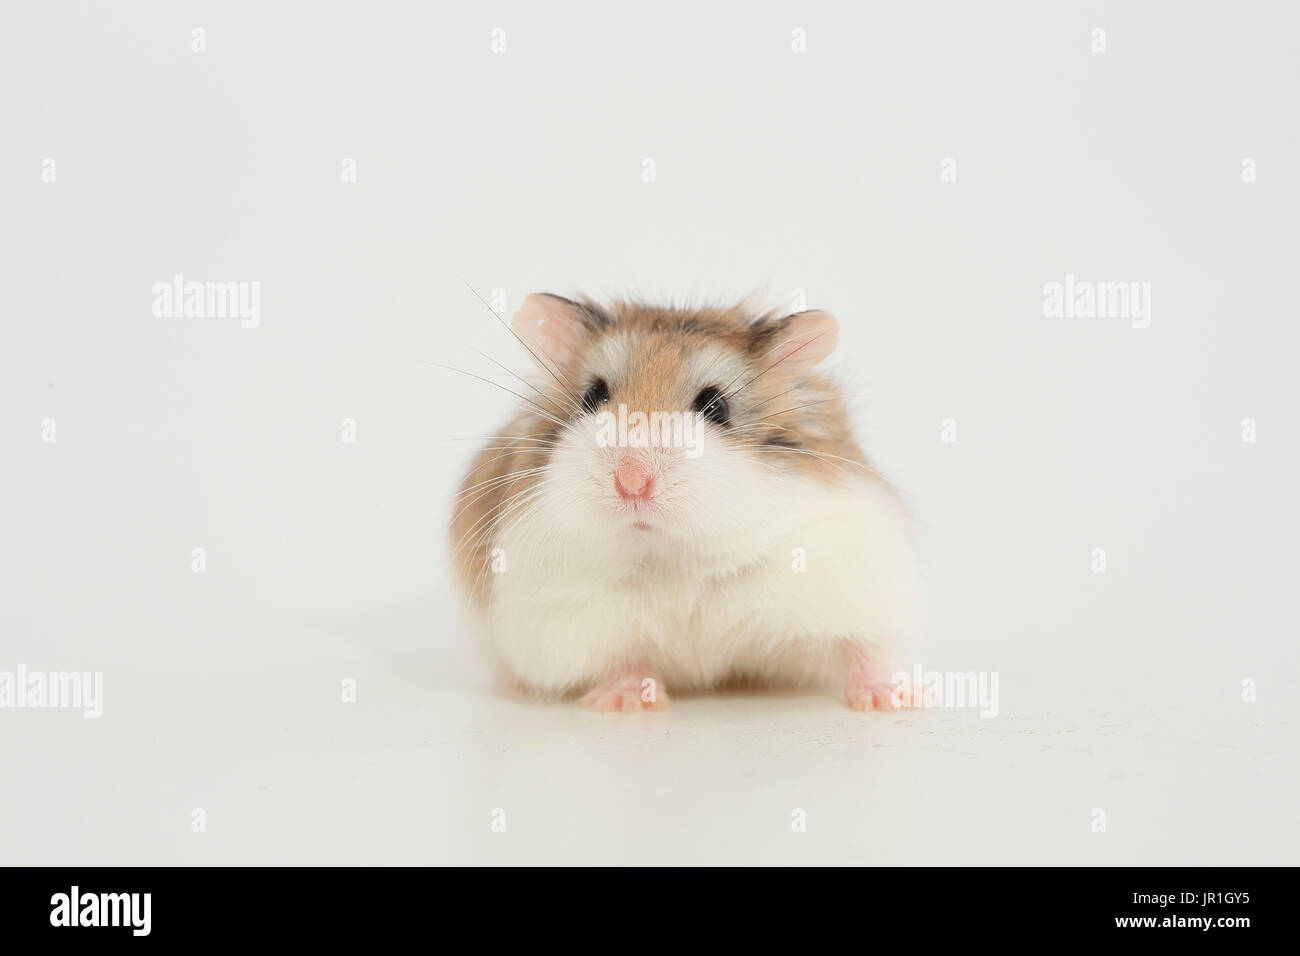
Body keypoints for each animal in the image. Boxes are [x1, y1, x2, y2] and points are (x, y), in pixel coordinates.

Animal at [449, 293, 922, 712]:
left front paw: (892, 699)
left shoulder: (848, 580)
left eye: (716, 406)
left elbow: (860, 648)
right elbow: (623, 660)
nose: (632, 481)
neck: (676, 554)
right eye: (593, 396)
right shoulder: (571, 617)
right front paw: (625, 703)